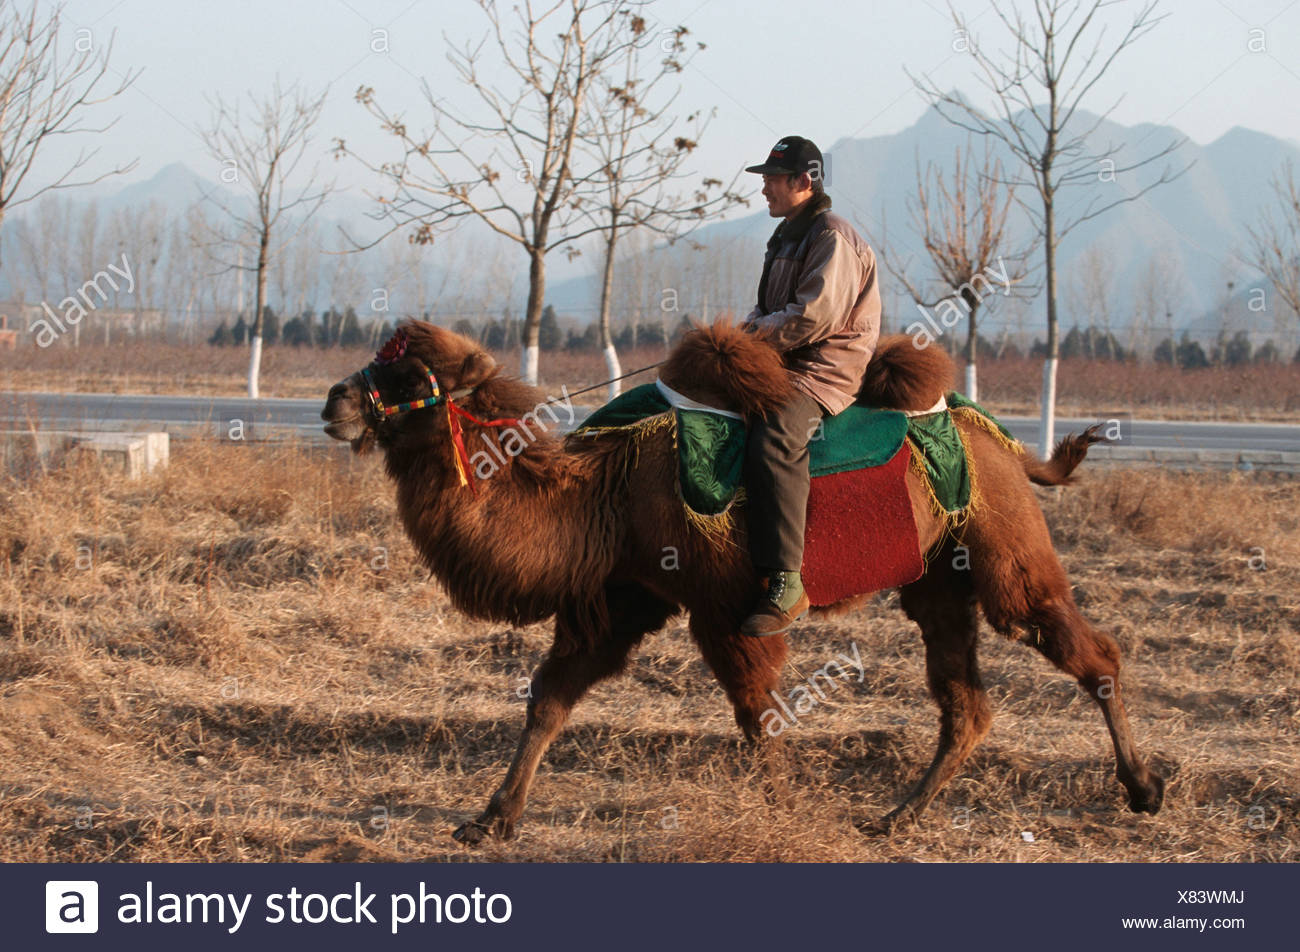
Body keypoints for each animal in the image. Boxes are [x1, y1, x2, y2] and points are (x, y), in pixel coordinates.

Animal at [320, 319, 1164, 844]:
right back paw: (895, 818)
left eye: (407, 368)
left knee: (1084, 648)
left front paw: (789, 814)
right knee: (966, 704)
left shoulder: (726, 610)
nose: (334, 402)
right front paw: (489, 820)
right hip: (938, 579)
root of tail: (1006, 441)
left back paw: (1144, 789)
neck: (603, 491)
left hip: (1002, 546)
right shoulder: (620, 598)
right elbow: (550, 701)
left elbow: (760, 718)